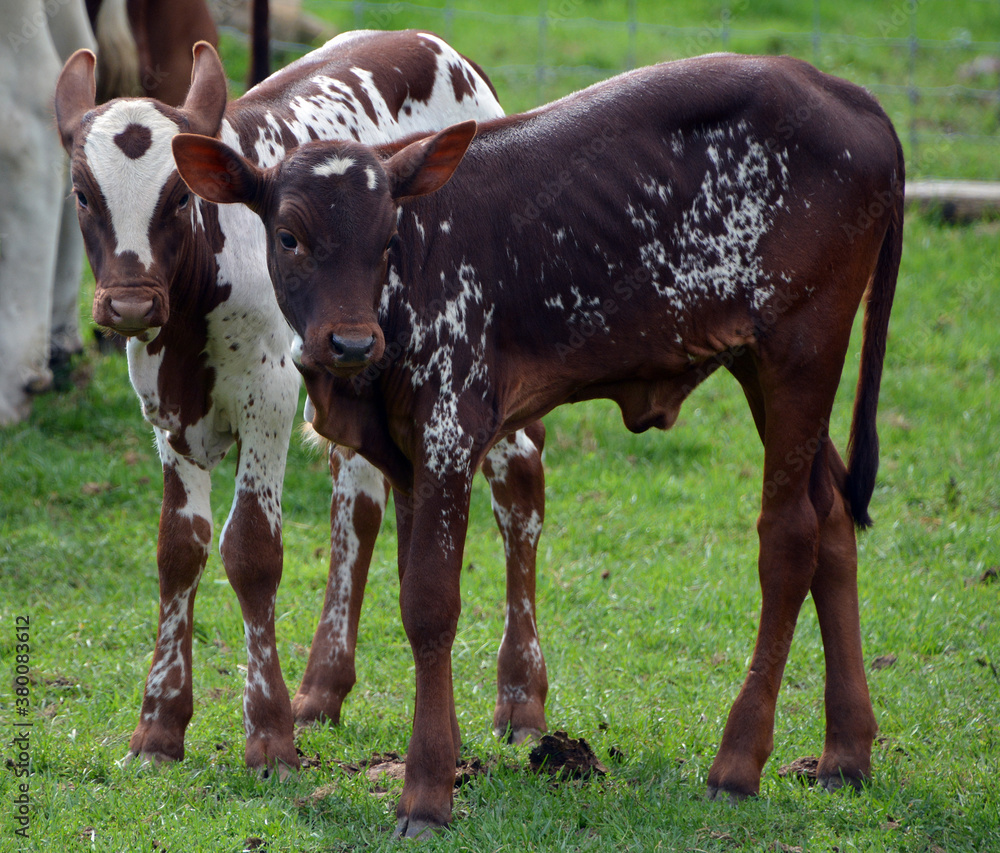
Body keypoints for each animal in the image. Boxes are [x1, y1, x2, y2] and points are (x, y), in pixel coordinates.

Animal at [54, 30, 550, 777]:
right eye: (84, 195)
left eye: (177, 200)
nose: (131, 304)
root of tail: (438, 48)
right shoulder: (165, 412)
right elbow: (179, 549)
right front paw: (159, 725)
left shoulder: (270, 395)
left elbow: (253, 550)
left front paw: (268, 734)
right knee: (359, 506)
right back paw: (324, 687)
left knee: (518, 483)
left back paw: (521, 699)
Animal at [173, 52, 904, 836]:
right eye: (289, 236)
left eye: (387, 239)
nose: (350, 342)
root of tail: (846, 94)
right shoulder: (404, 455)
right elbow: (412, 595)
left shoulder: (449, 432)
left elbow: (430, 603)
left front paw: (427, 790)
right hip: (765, 367)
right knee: (833, 518)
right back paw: (846, 753)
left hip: (802, 349)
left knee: (790, 536)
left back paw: (738, 762)